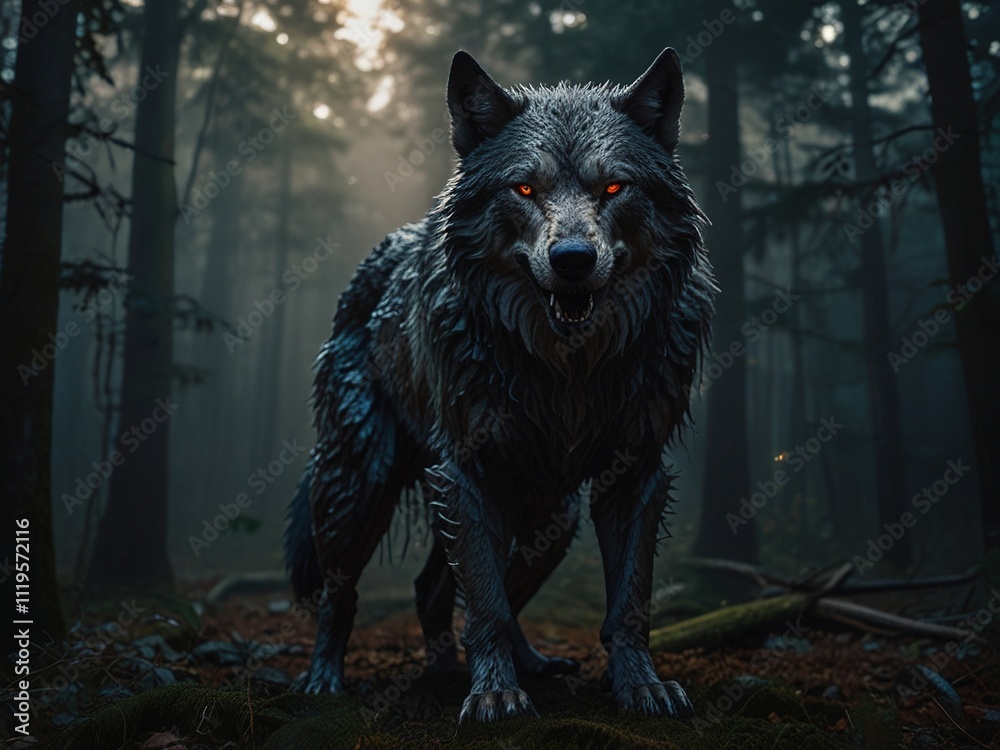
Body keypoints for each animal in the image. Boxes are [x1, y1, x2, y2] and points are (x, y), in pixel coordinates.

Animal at [286, 48, 715, 722]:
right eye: (525, 187)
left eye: (614, 187)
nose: (572, 259)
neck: (567, 371)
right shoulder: (466, 472)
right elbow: (484, 604)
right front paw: (492, 694)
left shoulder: (635, 471)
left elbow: (628, 604)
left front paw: (640, 686)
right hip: (359, 487)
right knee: (342, 591)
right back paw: (326, 679)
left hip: (552, 517)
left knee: (439, 588)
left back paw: (482, 668)